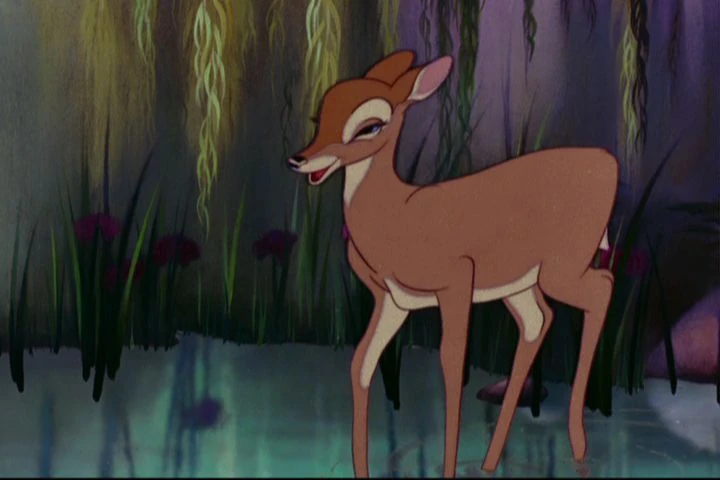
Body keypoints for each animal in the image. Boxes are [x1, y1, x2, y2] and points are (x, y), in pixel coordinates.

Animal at [287, 50, 618, 478]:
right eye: (319, 115)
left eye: (370, 126)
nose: (300, 160)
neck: (395, 213)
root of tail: (608, 162)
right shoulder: (392, 300)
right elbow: (361, 363)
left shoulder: (456, 282)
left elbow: (452, 363)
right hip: (519, 285)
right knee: (538, 321)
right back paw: (492, 462)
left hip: (562, 269)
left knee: (603, 287)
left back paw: (578, 447)